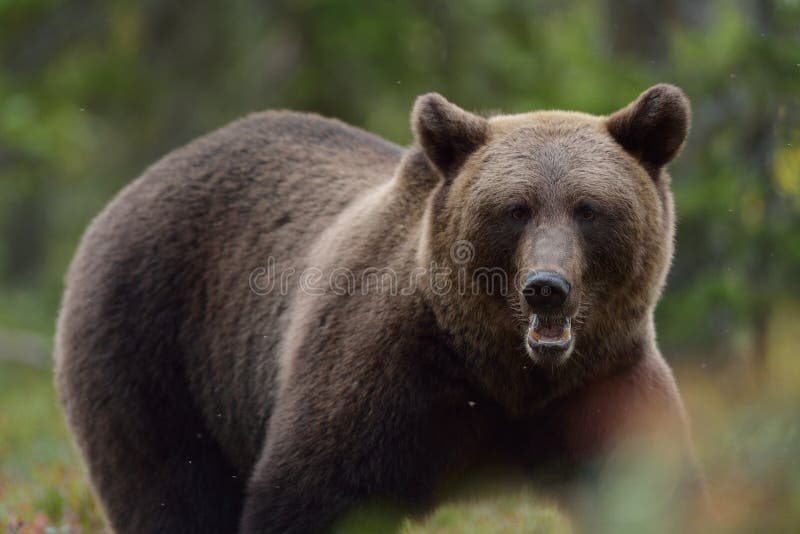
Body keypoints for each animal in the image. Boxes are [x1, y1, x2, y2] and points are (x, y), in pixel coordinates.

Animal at [55, 84, 700, 533]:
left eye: (588, 209)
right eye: (515, 209)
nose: (546, 286)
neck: (506, 373)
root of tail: (131, 190)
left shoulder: (600, 385)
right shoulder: (386, 375)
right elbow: (311, 494)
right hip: (151, 349)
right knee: (169, 490)